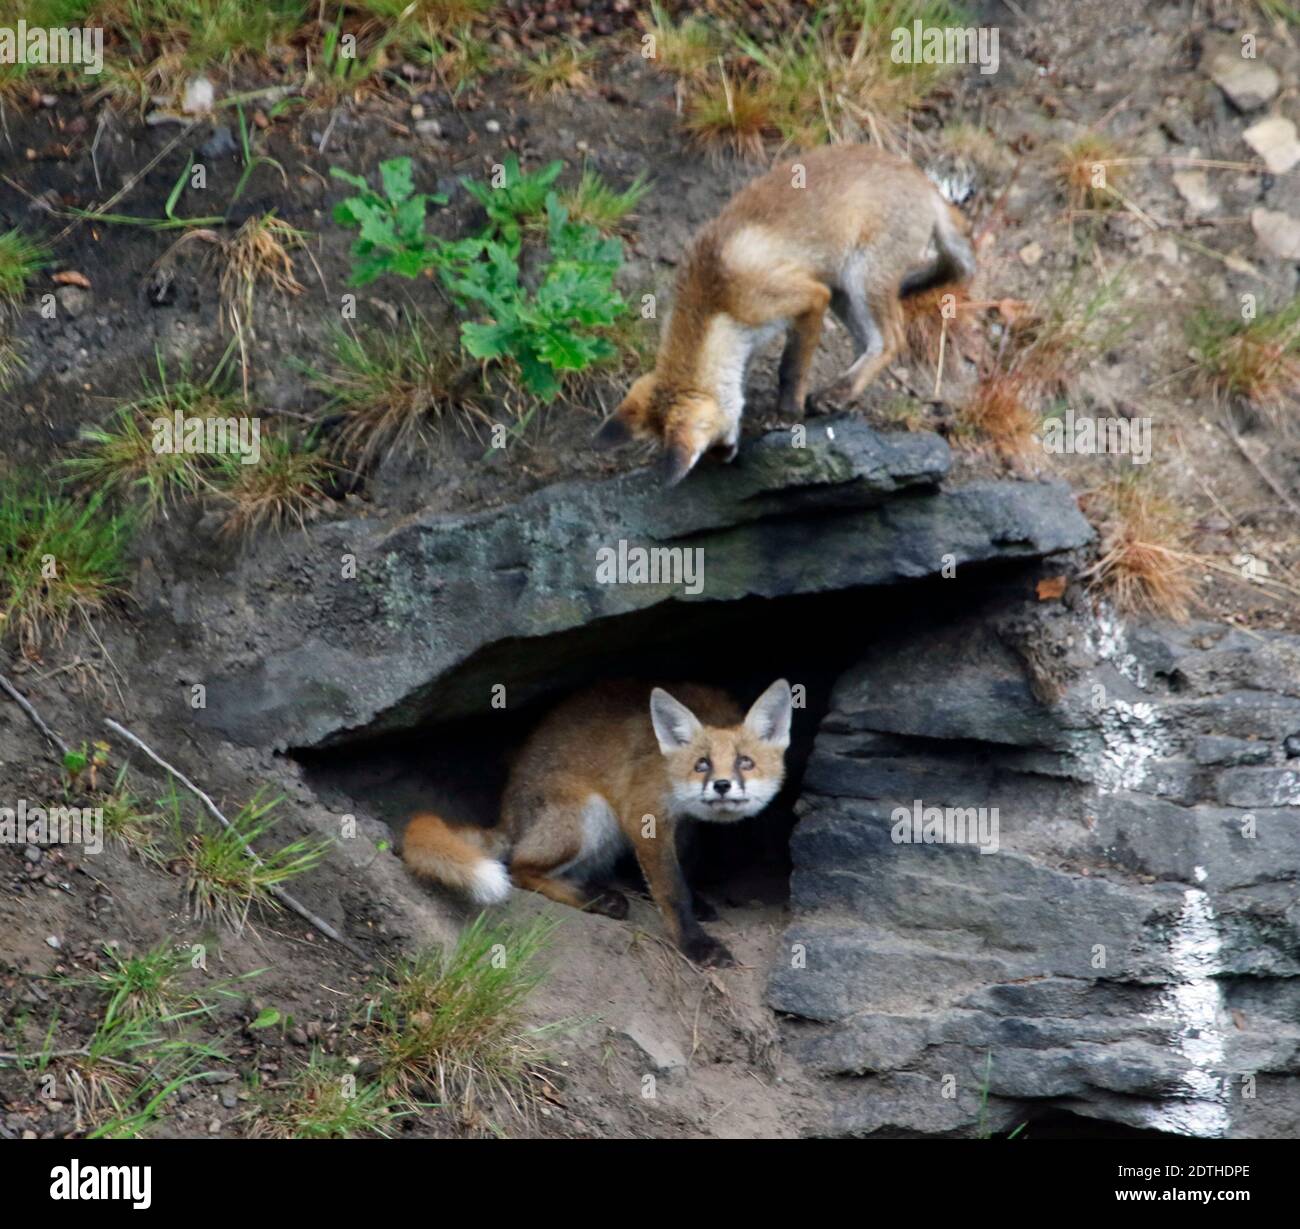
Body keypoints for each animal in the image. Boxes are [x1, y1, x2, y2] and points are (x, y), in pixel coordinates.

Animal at [402, 678, 793, 968]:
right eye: (702, 764)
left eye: (745, 762)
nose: (722, 785)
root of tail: (509, 818)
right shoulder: (644, 813)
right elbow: (672, 890)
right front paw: (695, 944)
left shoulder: (683, 824)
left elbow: (682, 870)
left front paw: (696, 903)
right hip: (590, 817)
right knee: (519, 866)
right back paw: (595, 898)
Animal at [593, 144, 975, 484]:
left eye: (710, 446)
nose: (726, 458)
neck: (714, 301)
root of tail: (924, 182)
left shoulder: (807, 297)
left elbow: (790, 369)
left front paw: (787, 414)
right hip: (844, 293)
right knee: (869, 342)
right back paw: (845, 392)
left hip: (860, 280)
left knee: (891, 341)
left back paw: (838, 392)